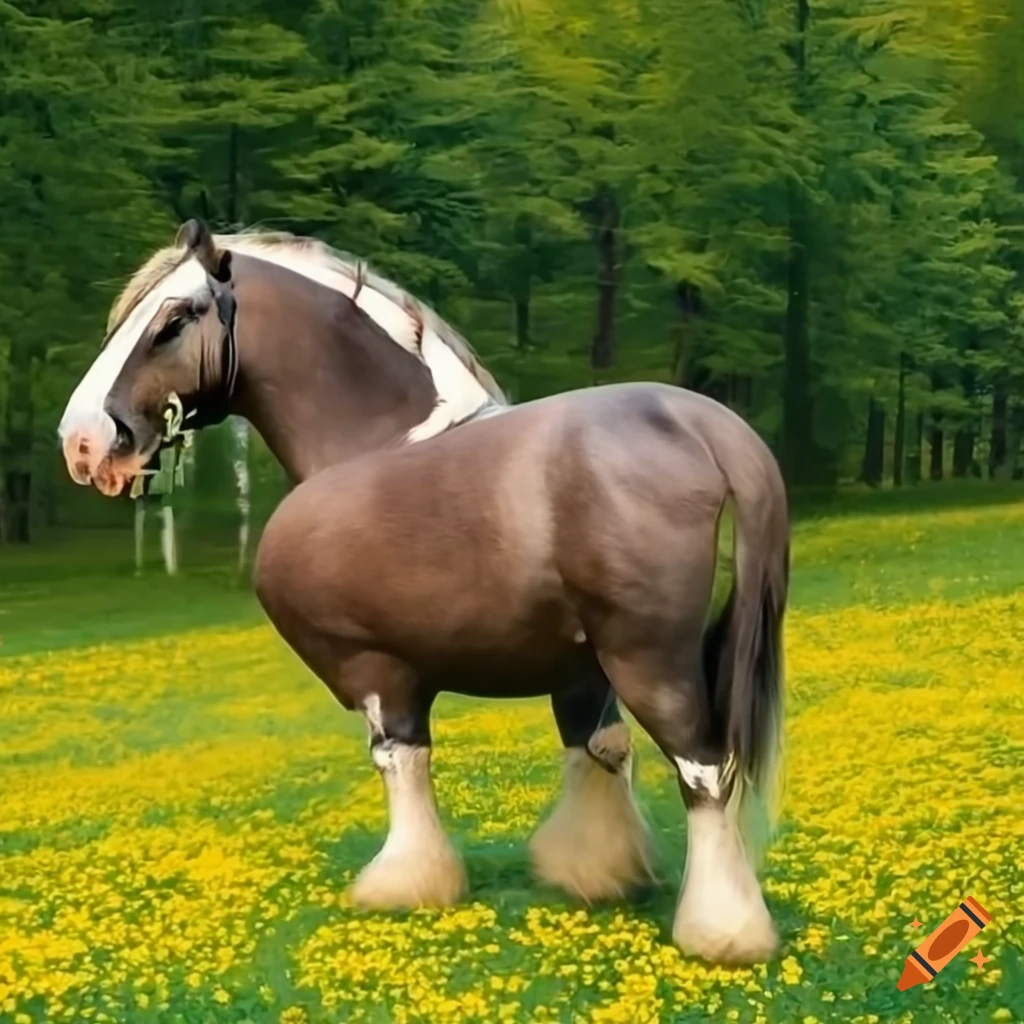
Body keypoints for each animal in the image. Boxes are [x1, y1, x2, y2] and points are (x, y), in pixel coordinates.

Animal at [58, 219, 789, 965]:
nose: (84, 442)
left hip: (652, 662)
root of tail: (711, 428)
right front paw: (598, 873)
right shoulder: (579, 674)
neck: (374, 439)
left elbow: (401, 762)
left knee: (704, 771)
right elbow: (598, 754)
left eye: (175, 320)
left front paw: (405, 883)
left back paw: (723, 930)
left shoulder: (376, 668)